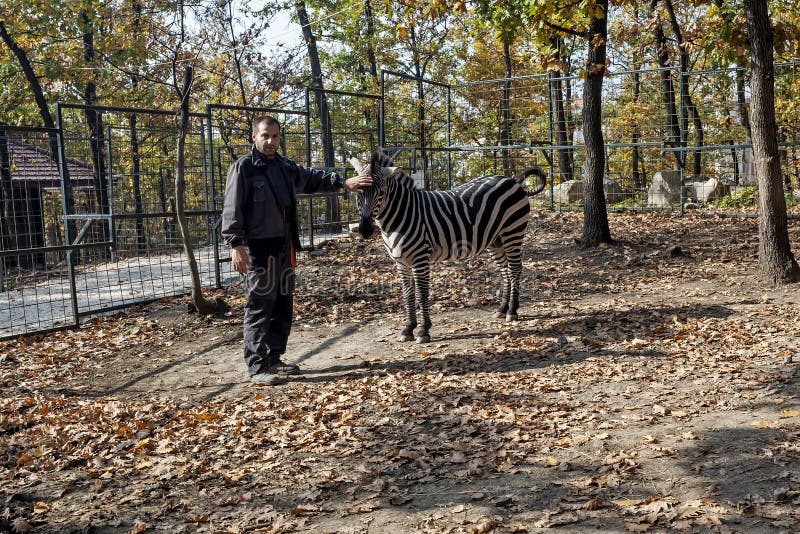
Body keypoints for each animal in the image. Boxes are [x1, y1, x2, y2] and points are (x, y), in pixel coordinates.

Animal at [350, 152, 546, 343]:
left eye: (381, 193)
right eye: (357, 193)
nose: (365, 230)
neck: (399, 216)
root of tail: (513, 181)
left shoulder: (420, 258)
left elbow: (421, 294)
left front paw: (423, 331)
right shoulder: (401, 262)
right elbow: (408, 294)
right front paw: (408, 329)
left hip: (512, 232)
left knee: (514, 270)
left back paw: (512, 311)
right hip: (495, 241)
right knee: (505, 271)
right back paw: (502, 309)